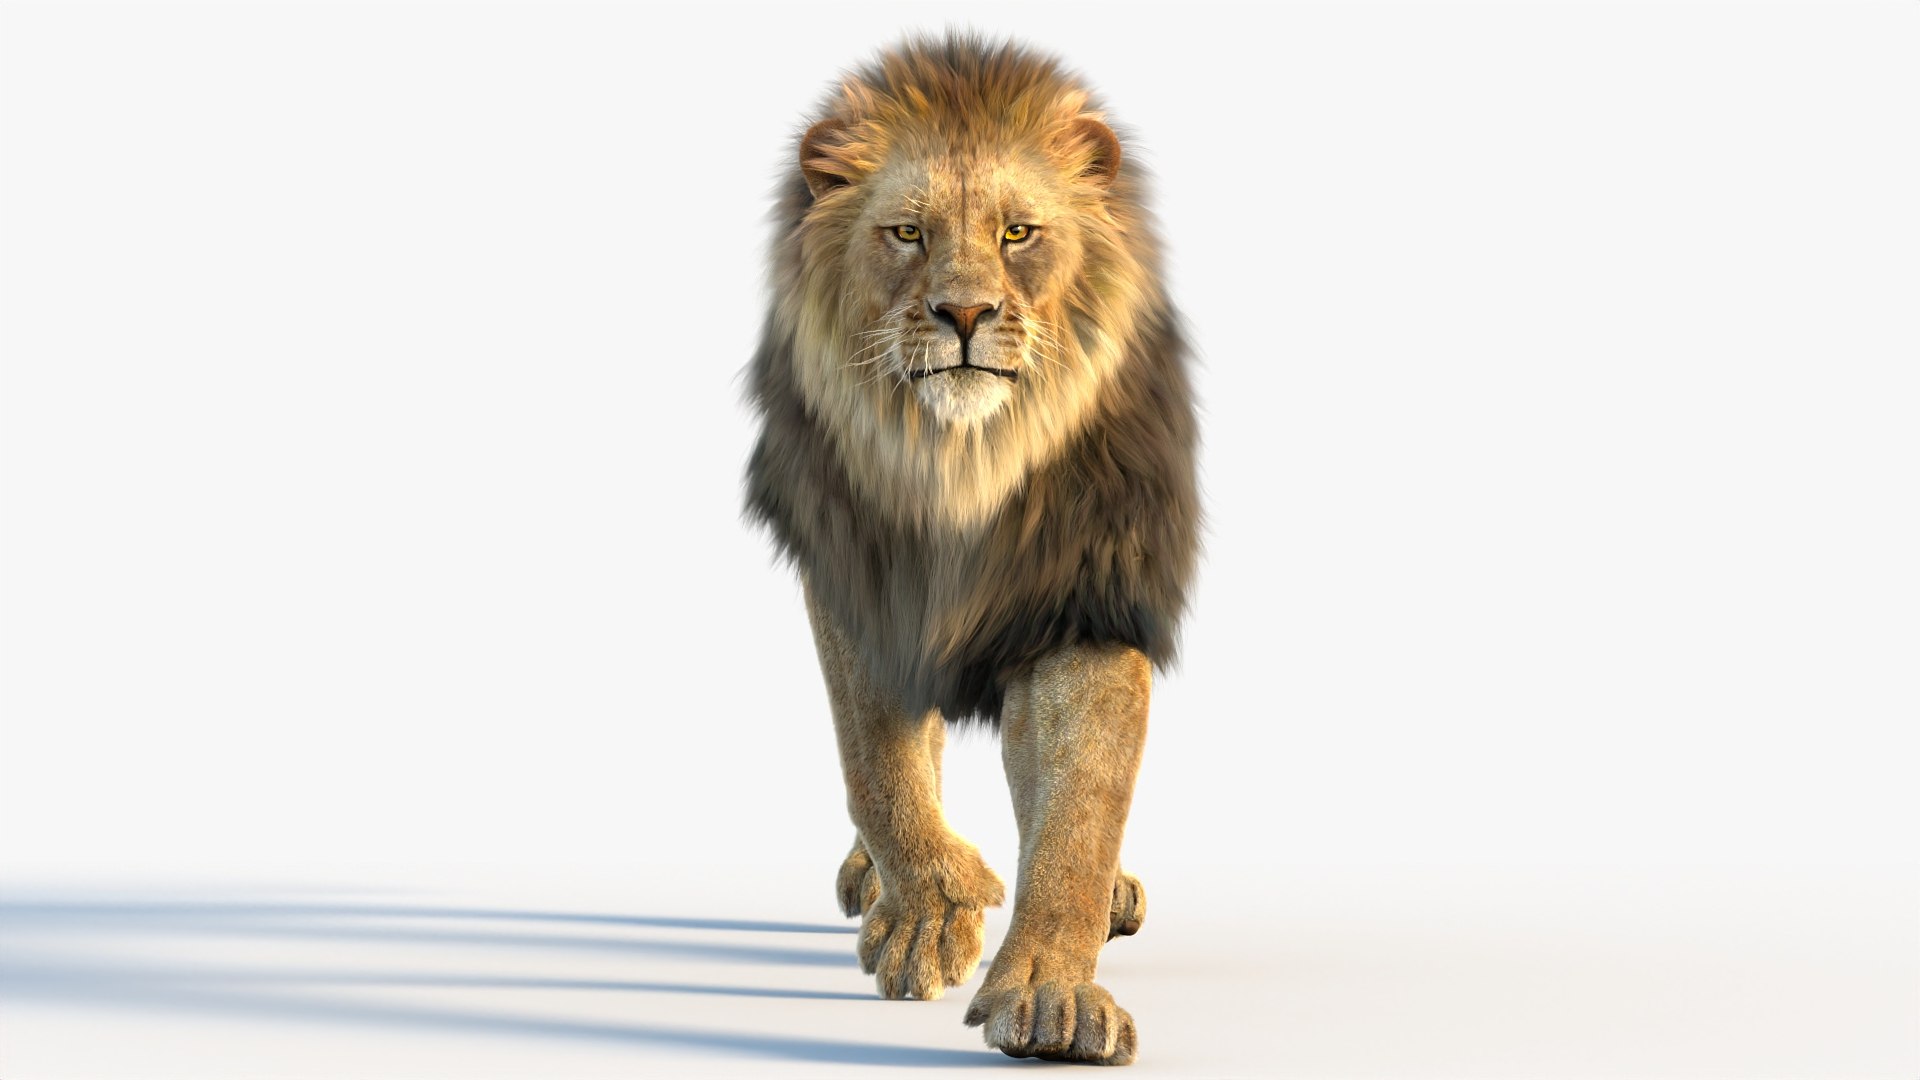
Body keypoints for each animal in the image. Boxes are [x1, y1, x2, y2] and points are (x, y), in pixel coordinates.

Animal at [743, 34, 1199, 1065]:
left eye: (1018, 234)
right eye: (908, 234)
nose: (964, 315)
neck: (961, 464)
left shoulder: (1084, 591)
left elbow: (1078, 809)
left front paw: (1051, 995)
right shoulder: (858, 573)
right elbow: (878, 763)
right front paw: (929, 909)